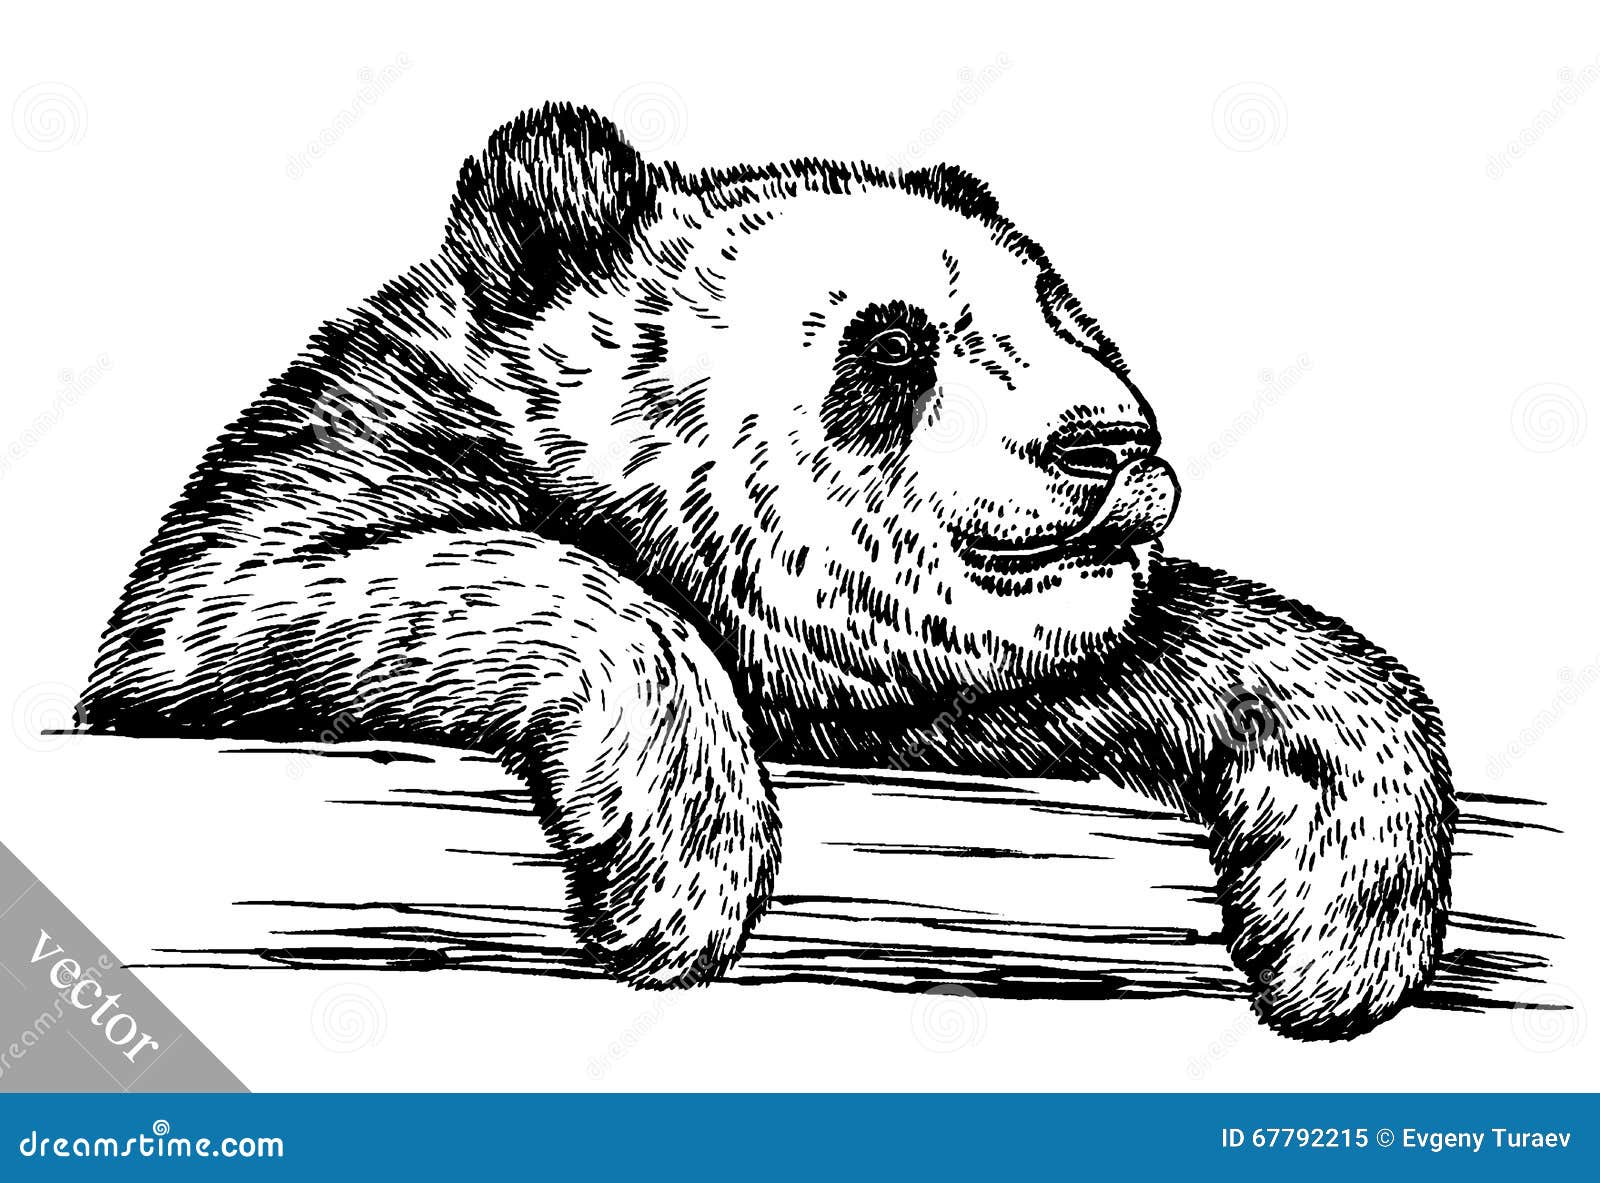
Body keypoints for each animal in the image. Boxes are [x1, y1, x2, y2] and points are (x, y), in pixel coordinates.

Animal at [80, 103, 1453, 1040]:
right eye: (890, 345)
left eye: (1065, 320)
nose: (1108, 442)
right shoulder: (316, 493)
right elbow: (301, 601)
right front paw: (678, 876)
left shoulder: (928, 707)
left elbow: (1186, 653)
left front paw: (1340, 939)